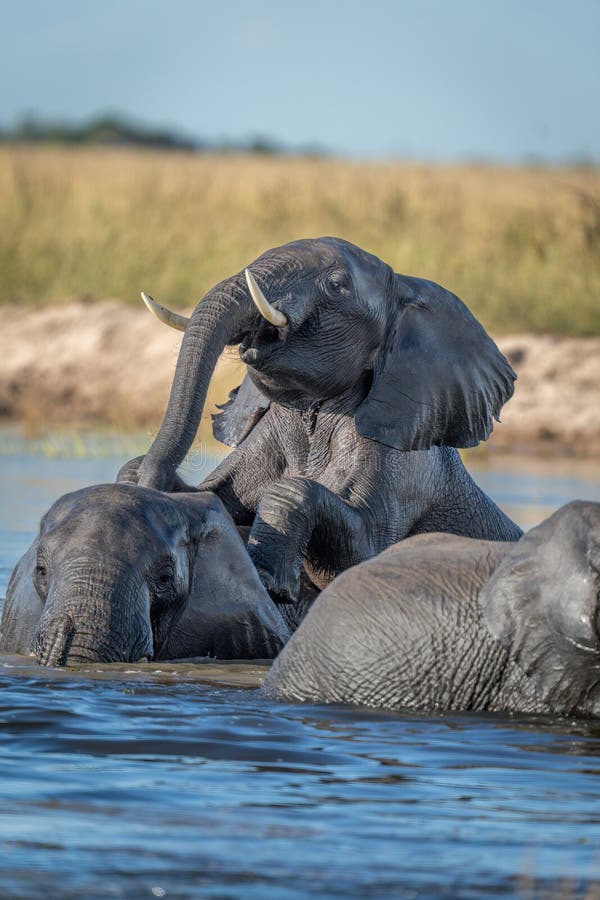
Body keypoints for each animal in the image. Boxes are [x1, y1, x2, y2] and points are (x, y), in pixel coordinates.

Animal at [125, 236, 522, 604]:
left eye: (337, 285)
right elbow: (210, 495)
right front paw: (135, 476)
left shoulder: (404, 469)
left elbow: (363, 554)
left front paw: (271, 583)